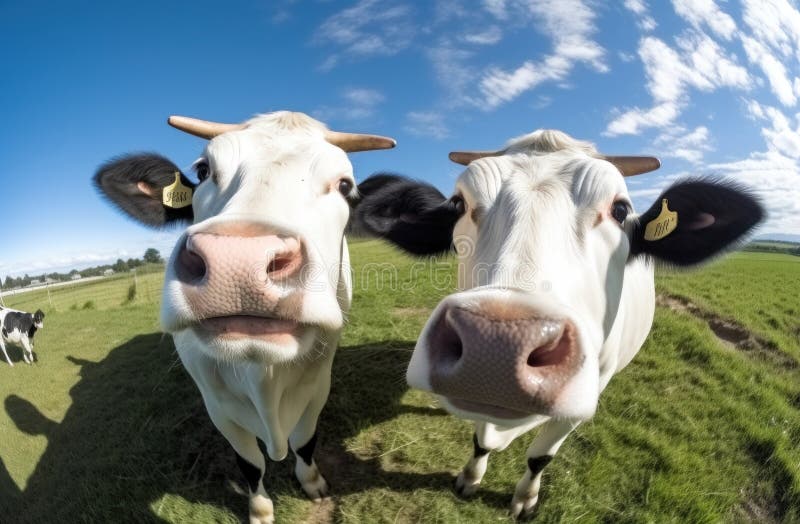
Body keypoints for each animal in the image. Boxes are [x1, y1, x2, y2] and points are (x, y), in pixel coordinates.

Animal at [94, 111, 395, 523]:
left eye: (345, 185)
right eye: (204, 170)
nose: (237, 264)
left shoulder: (318, 386)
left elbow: (305, 441)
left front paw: (312, 482)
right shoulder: (218, 407)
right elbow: (251, 465)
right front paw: (261, 510)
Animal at [353, 129, 764, 519]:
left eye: (620, 209)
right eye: (459, 204)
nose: (495, 347)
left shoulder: (590, 389)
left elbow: (540, 456)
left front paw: (525, 499)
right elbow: (481, 440)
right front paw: (469, 478)